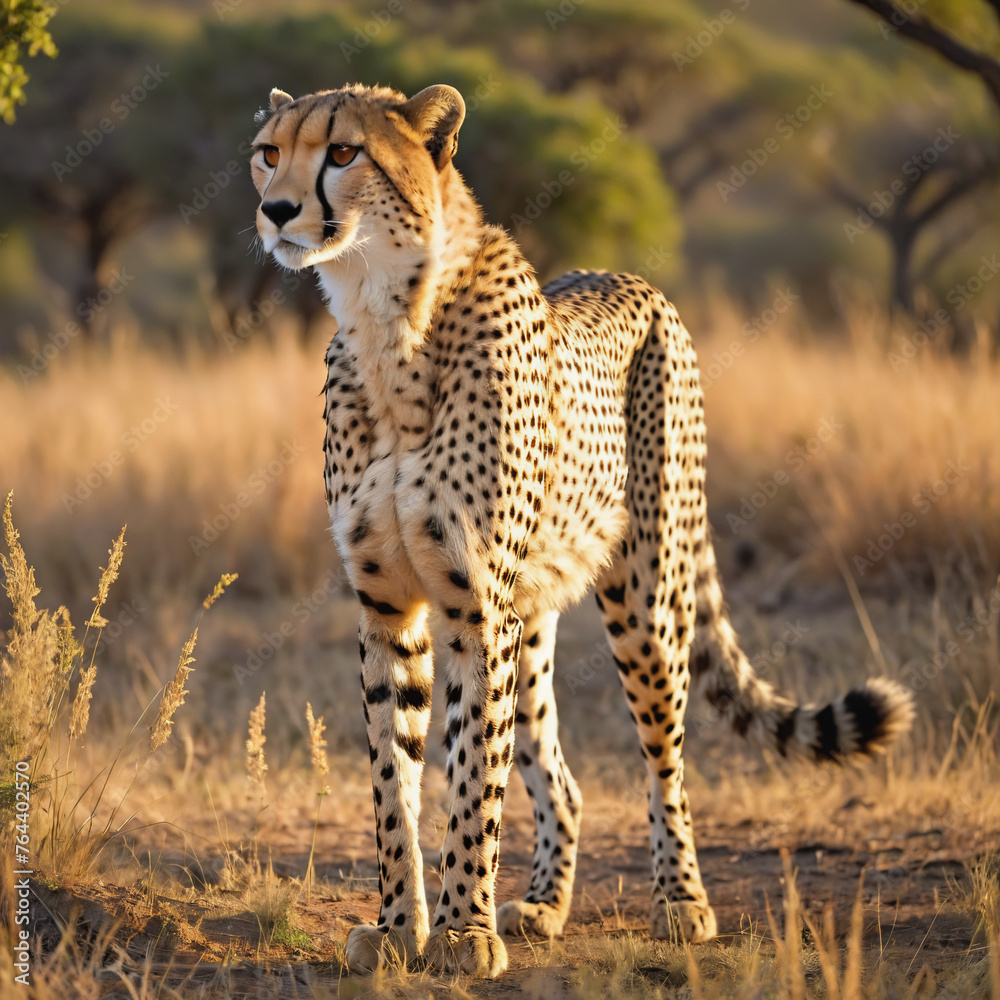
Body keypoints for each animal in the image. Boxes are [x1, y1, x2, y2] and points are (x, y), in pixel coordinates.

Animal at [249, 81, 914, 979]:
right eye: (269, 152)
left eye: (345, 153)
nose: (276, 209)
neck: (388, 325)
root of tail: (630, 279)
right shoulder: (390, 609)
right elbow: (396, 777)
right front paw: (396, 930)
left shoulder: (473, 610)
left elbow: (471, 777)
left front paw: (462, 931)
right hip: (530, 620)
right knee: (555, 774)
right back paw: (544, 904)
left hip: (643, 599)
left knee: (664, 757)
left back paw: (681, 901)